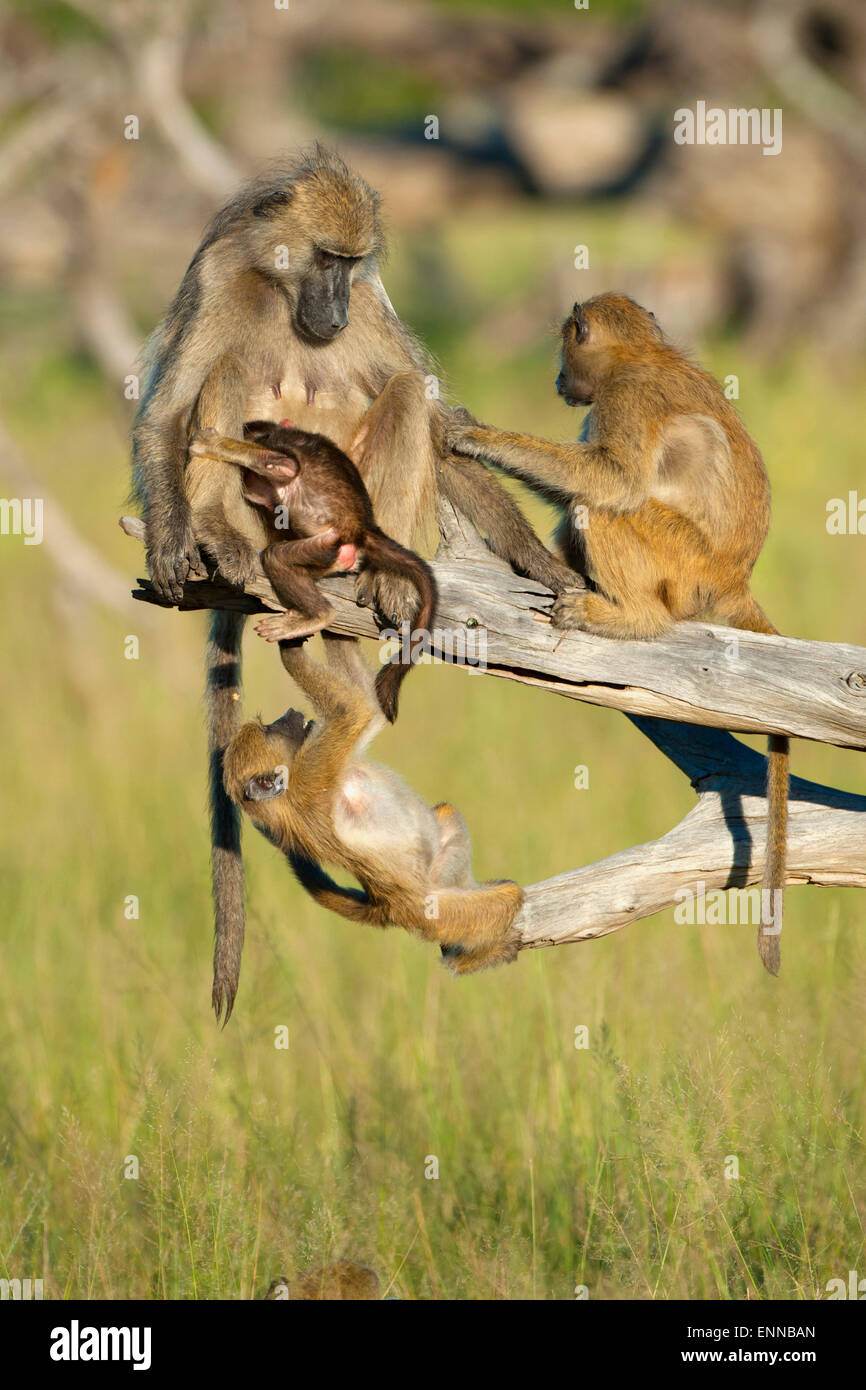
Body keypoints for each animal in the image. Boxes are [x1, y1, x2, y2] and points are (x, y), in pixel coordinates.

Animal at [188, 419, 437, 722]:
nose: (260, 497)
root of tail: (363, 527)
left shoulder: (276, 448)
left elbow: (285, 466)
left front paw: (209, 444)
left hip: (327, 546)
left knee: (276, 558)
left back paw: (319, 615)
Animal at [222, 633, 524, 976]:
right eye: (270, 729)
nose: (289, 714)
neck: (283, 798)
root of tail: (388, 906)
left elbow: (370, 703)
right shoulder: (313, 774)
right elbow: (354, 710)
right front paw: (291, 646)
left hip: (435, 877)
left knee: (446, 817)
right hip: (434, 912)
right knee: (505, 899)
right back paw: (472, 957)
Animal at [448, 293, 788, 976]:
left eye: (564, 345)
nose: (558, 380)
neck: (640, 353)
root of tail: (732, 578)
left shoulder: (624, 399)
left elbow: (613, 480)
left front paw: (476, 434)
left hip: (681, 567)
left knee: (605, 506)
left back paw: (627, 617)